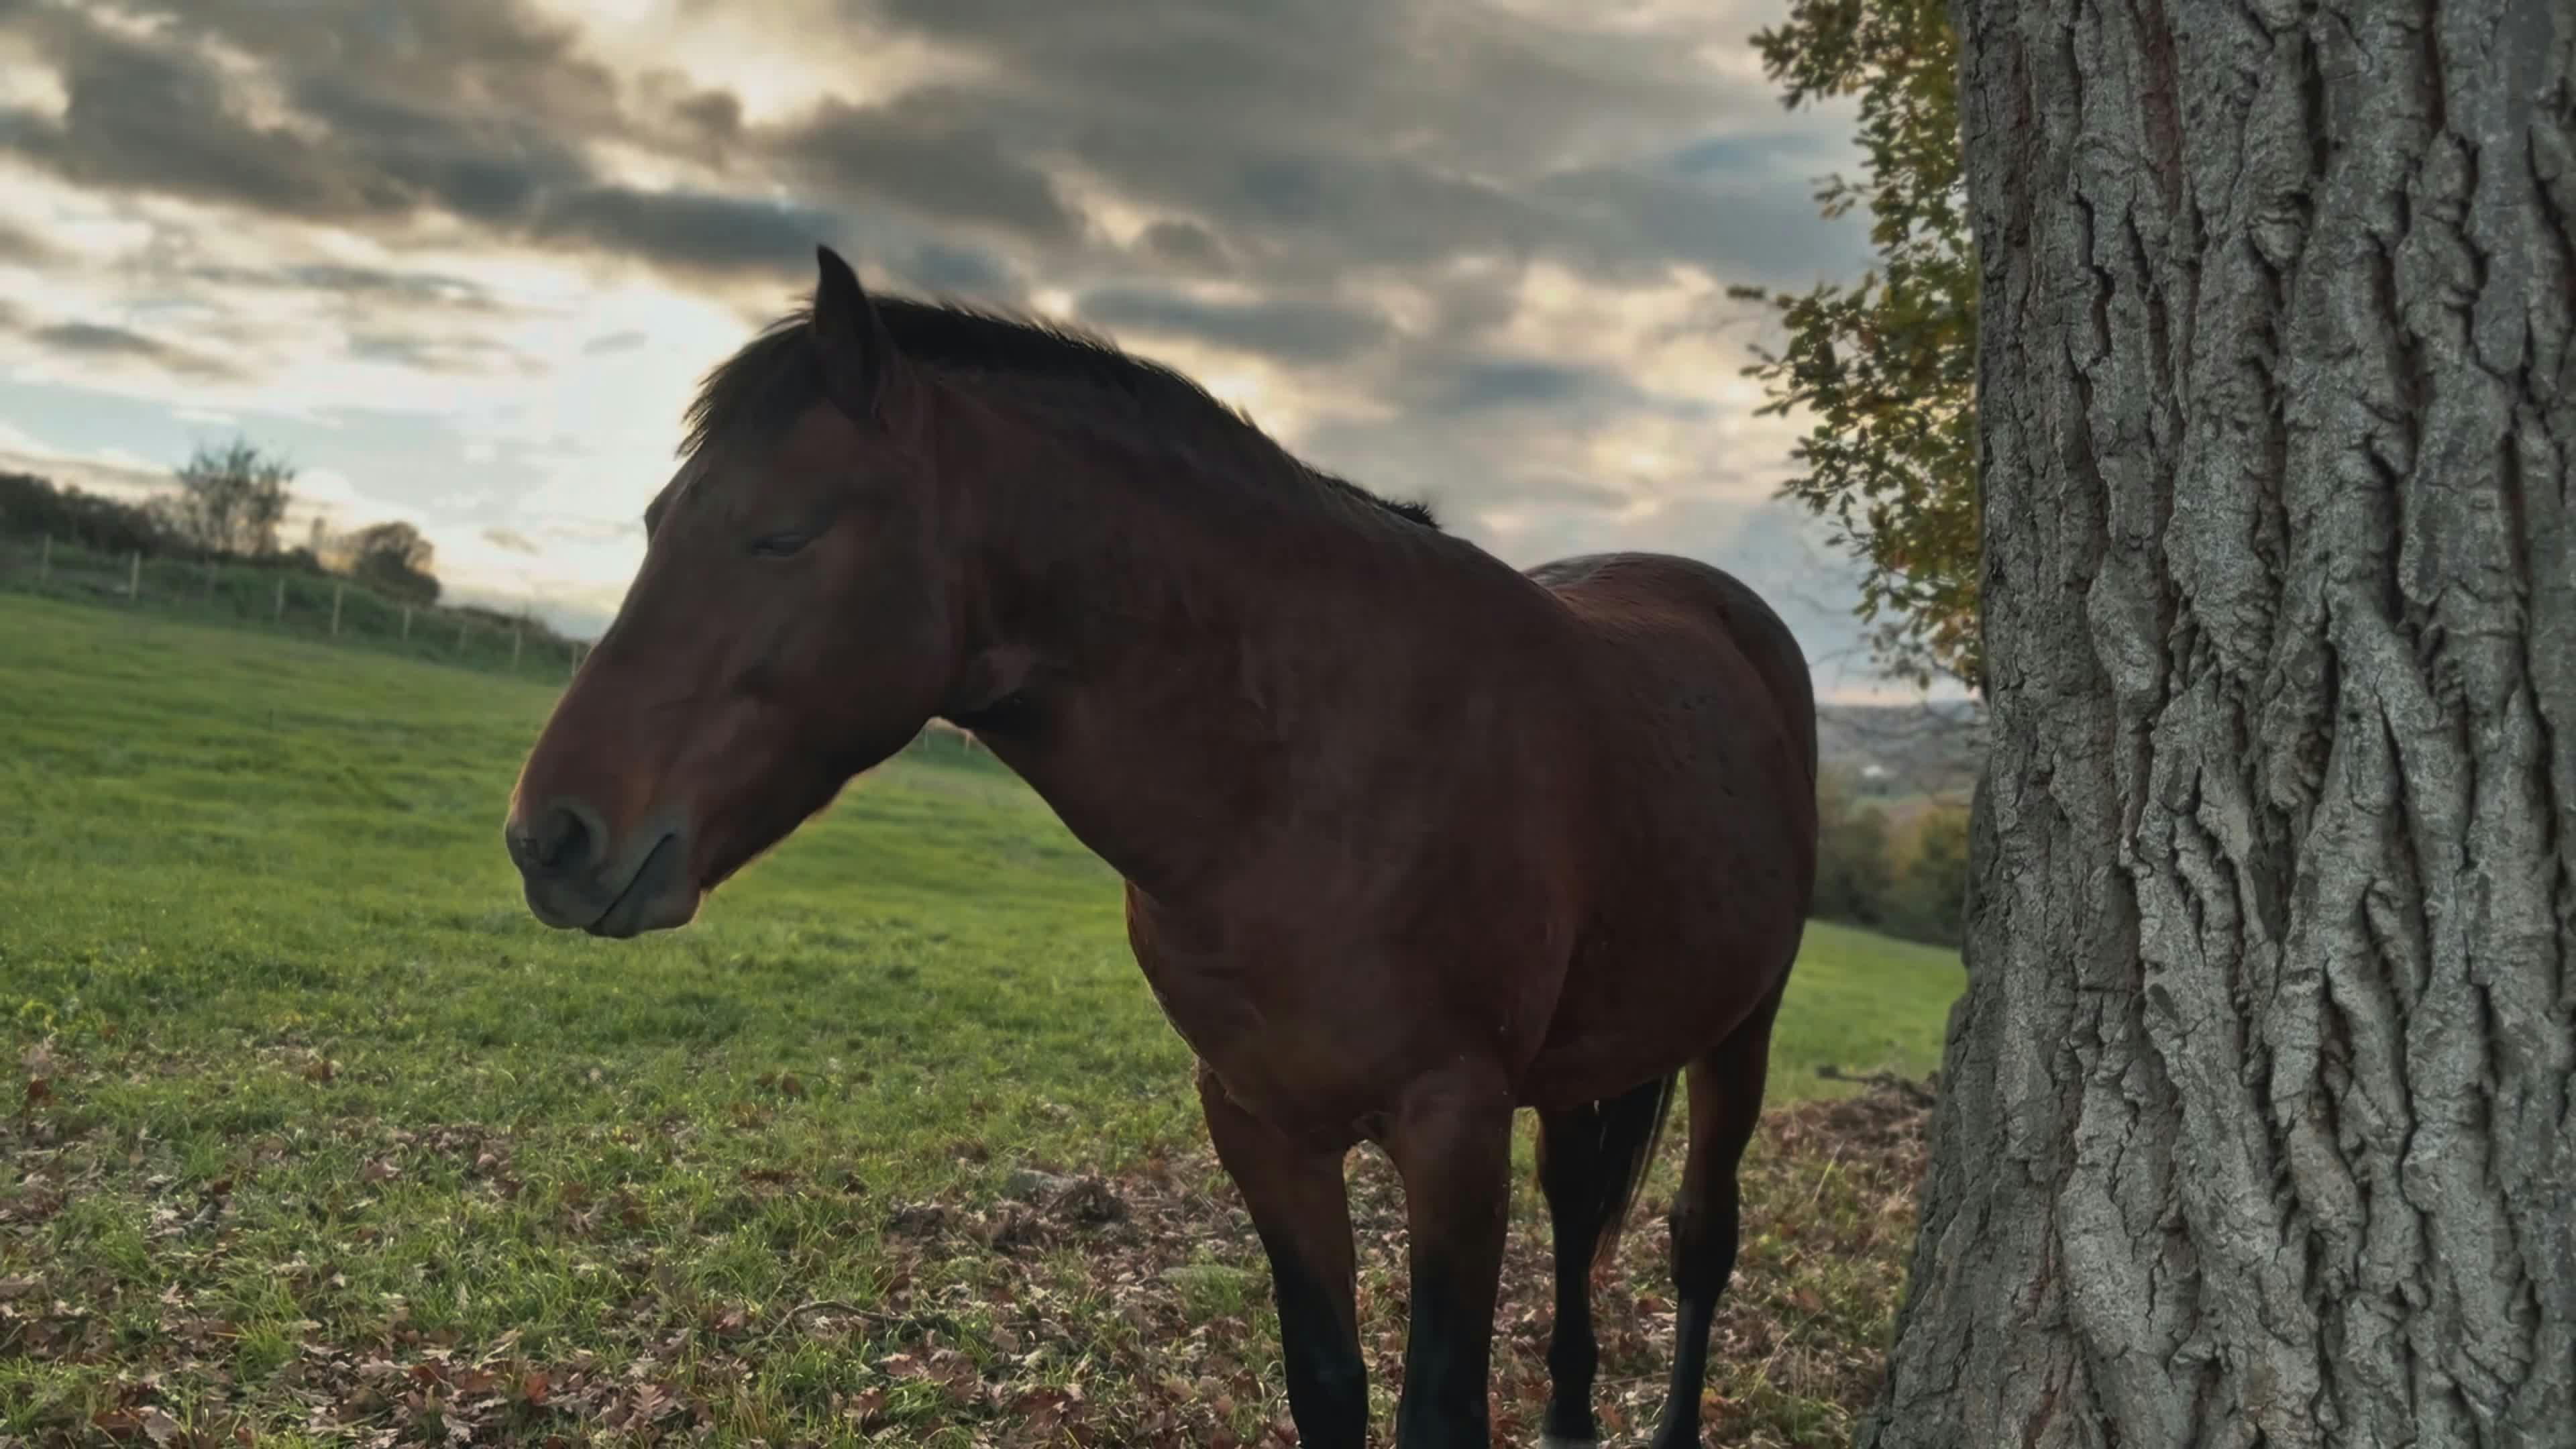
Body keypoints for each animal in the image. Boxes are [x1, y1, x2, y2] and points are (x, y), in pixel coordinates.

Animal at [503, 246, 1818, 1448]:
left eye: (783, 535)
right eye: (655, 523)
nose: (550, 838)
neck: (1313, 764)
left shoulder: (1453, 1131)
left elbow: (1438, 1407)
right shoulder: (1262, 1126)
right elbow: (1329, 1387)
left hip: (1741, 1031)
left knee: (1700, 1244)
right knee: (1582, 1218)